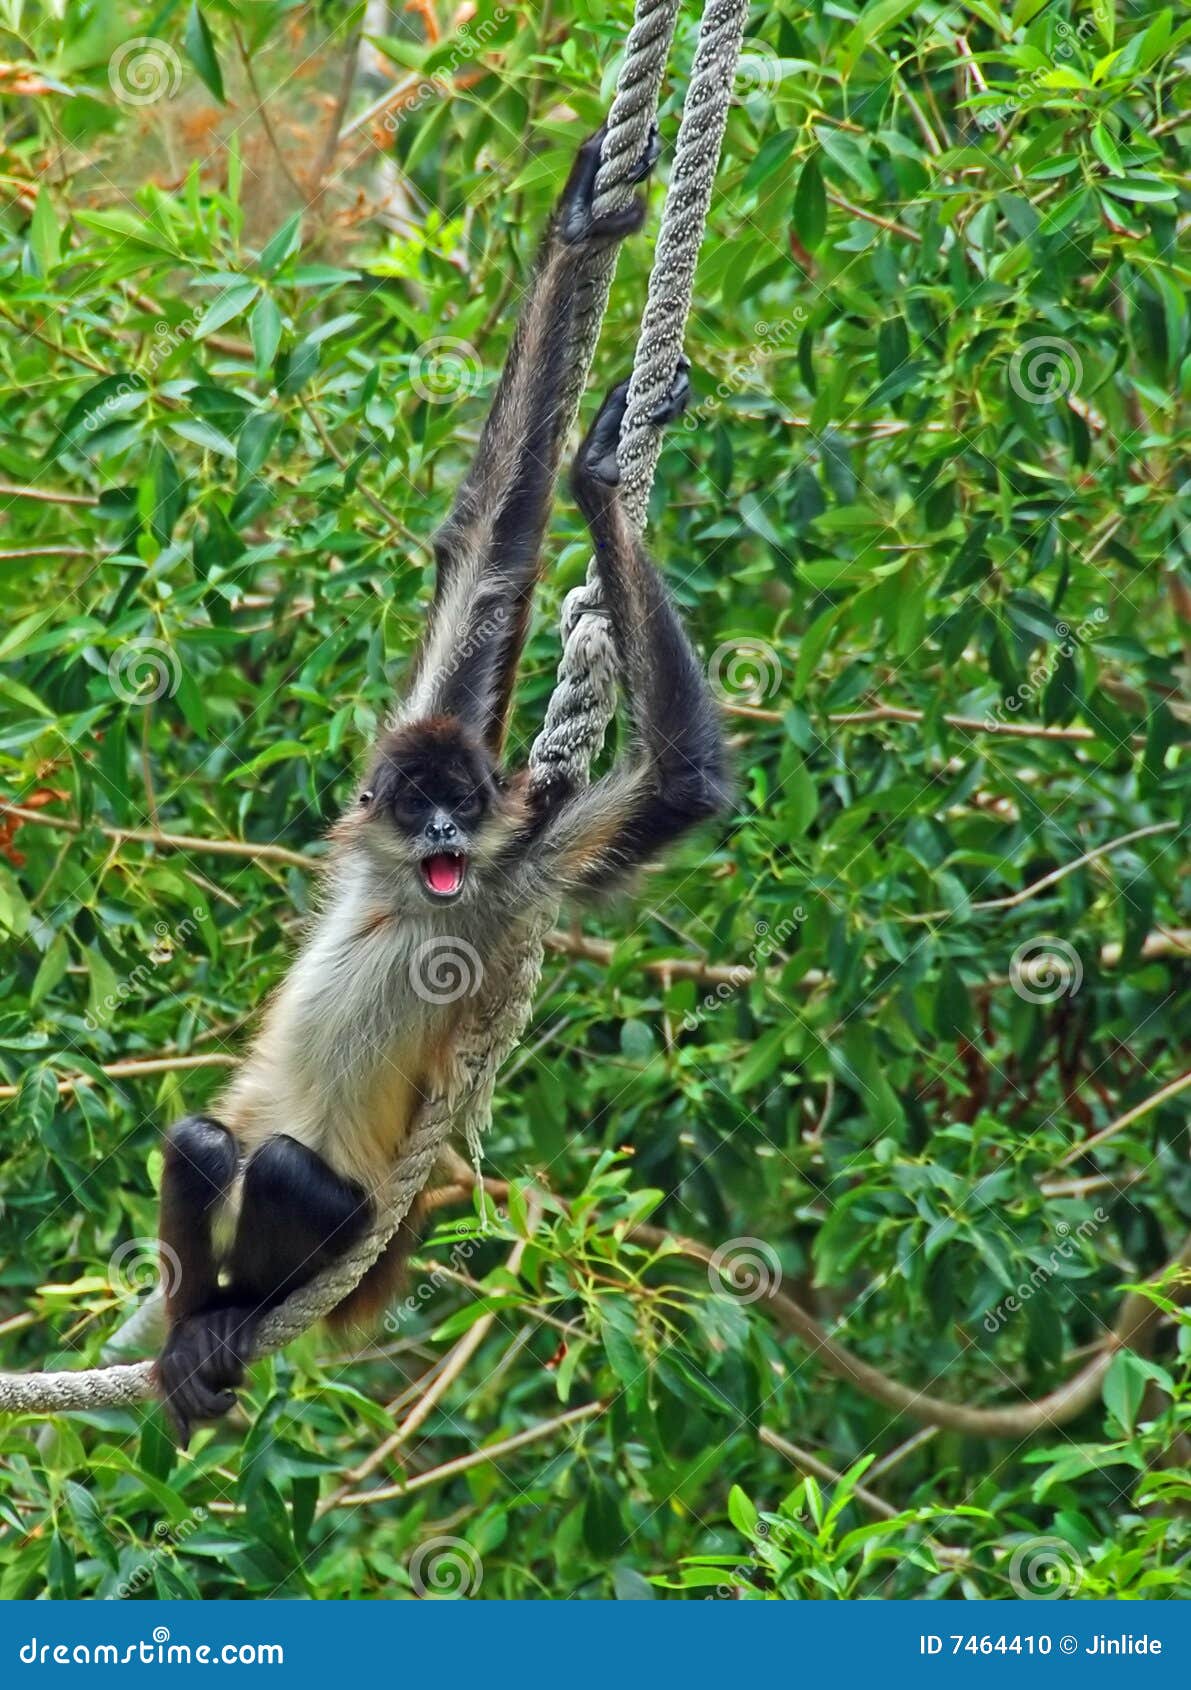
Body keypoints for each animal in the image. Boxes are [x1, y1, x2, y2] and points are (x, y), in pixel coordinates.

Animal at [154, 124, 730, 1444]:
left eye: (460, 806)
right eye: (415, 804)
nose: (440, 834)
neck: (418, 898)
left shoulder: (517, 866)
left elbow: (680, 783)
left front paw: (602, 483)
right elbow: (488, 558)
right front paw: (579, 228)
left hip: (369, 1240)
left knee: (287, 1170)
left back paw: (230, 1326)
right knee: (206, 1142)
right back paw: (188, 1331)